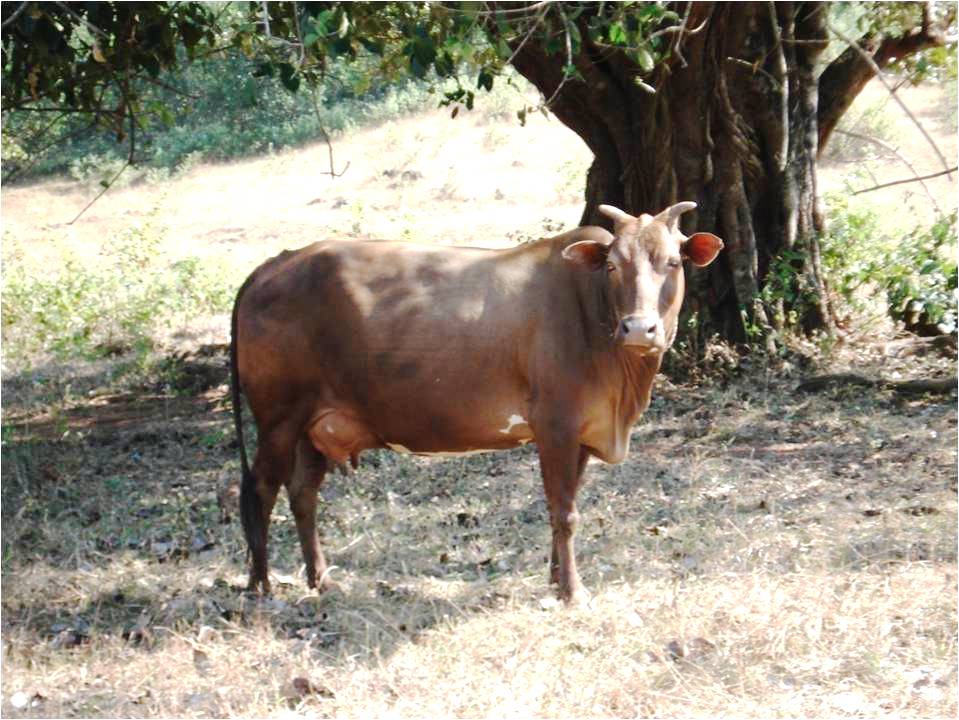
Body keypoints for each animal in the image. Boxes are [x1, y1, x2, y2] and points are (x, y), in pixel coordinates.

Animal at [230, 202, 722, 604]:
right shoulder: (556, 427)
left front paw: (555, 579)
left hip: (314, 424)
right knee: (260, 490)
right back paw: (262, 585)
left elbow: (562, 507)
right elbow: (565, 512)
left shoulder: (582, 433)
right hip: (278, 419)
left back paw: (321, 579)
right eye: (613, 267)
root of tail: (276, 263)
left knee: (302, 493)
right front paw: (573, 591)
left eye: (672, 262)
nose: (639, 328)